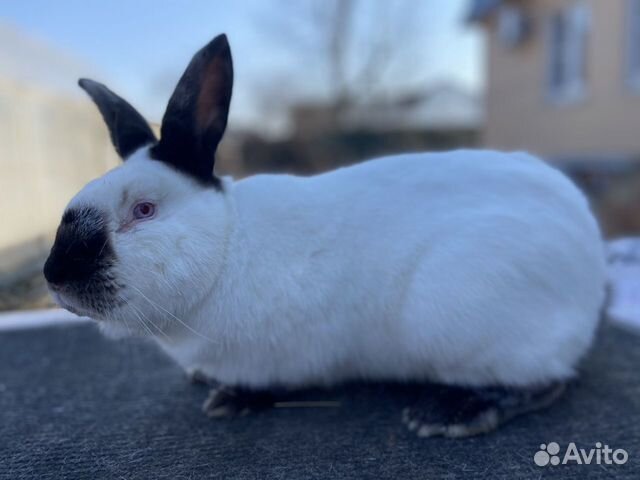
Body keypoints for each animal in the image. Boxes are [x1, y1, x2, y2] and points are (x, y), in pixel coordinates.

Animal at [43, 34, 607, 438]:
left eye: (144, 210)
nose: (55, 274)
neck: (225, 248)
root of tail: (591, 265)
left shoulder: (279, 361)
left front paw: (230, 400)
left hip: (466, 320)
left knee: (549, 381)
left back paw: (451, 412)